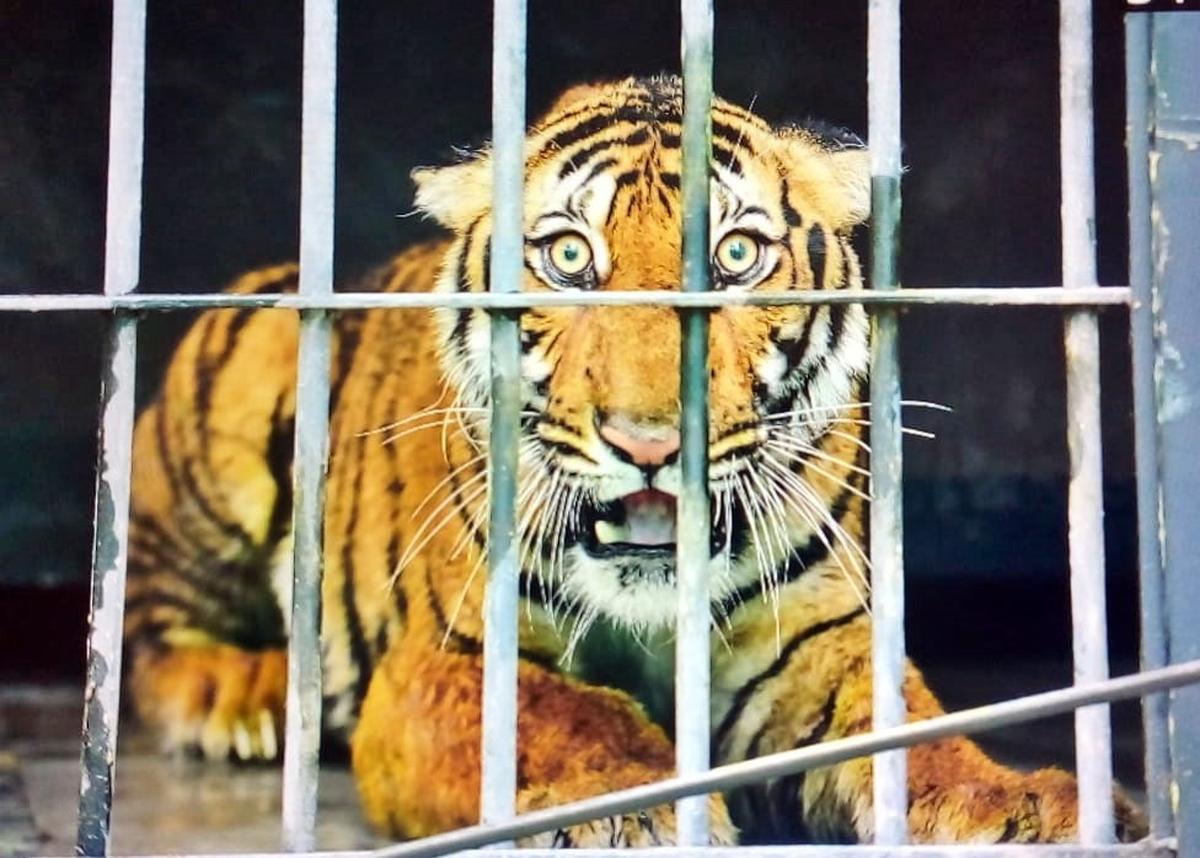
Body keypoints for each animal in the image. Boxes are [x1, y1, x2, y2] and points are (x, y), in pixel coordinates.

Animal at [123, 75, 1145, 846]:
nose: (651, 443)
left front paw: (1028, 803)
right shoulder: (446, 659)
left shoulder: (822, 648)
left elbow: (916, 736)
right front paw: (628, 805)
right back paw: (234, 696)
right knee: (148, 630)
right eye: (571, 259)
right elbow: (566, 711)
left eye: (736, 257)